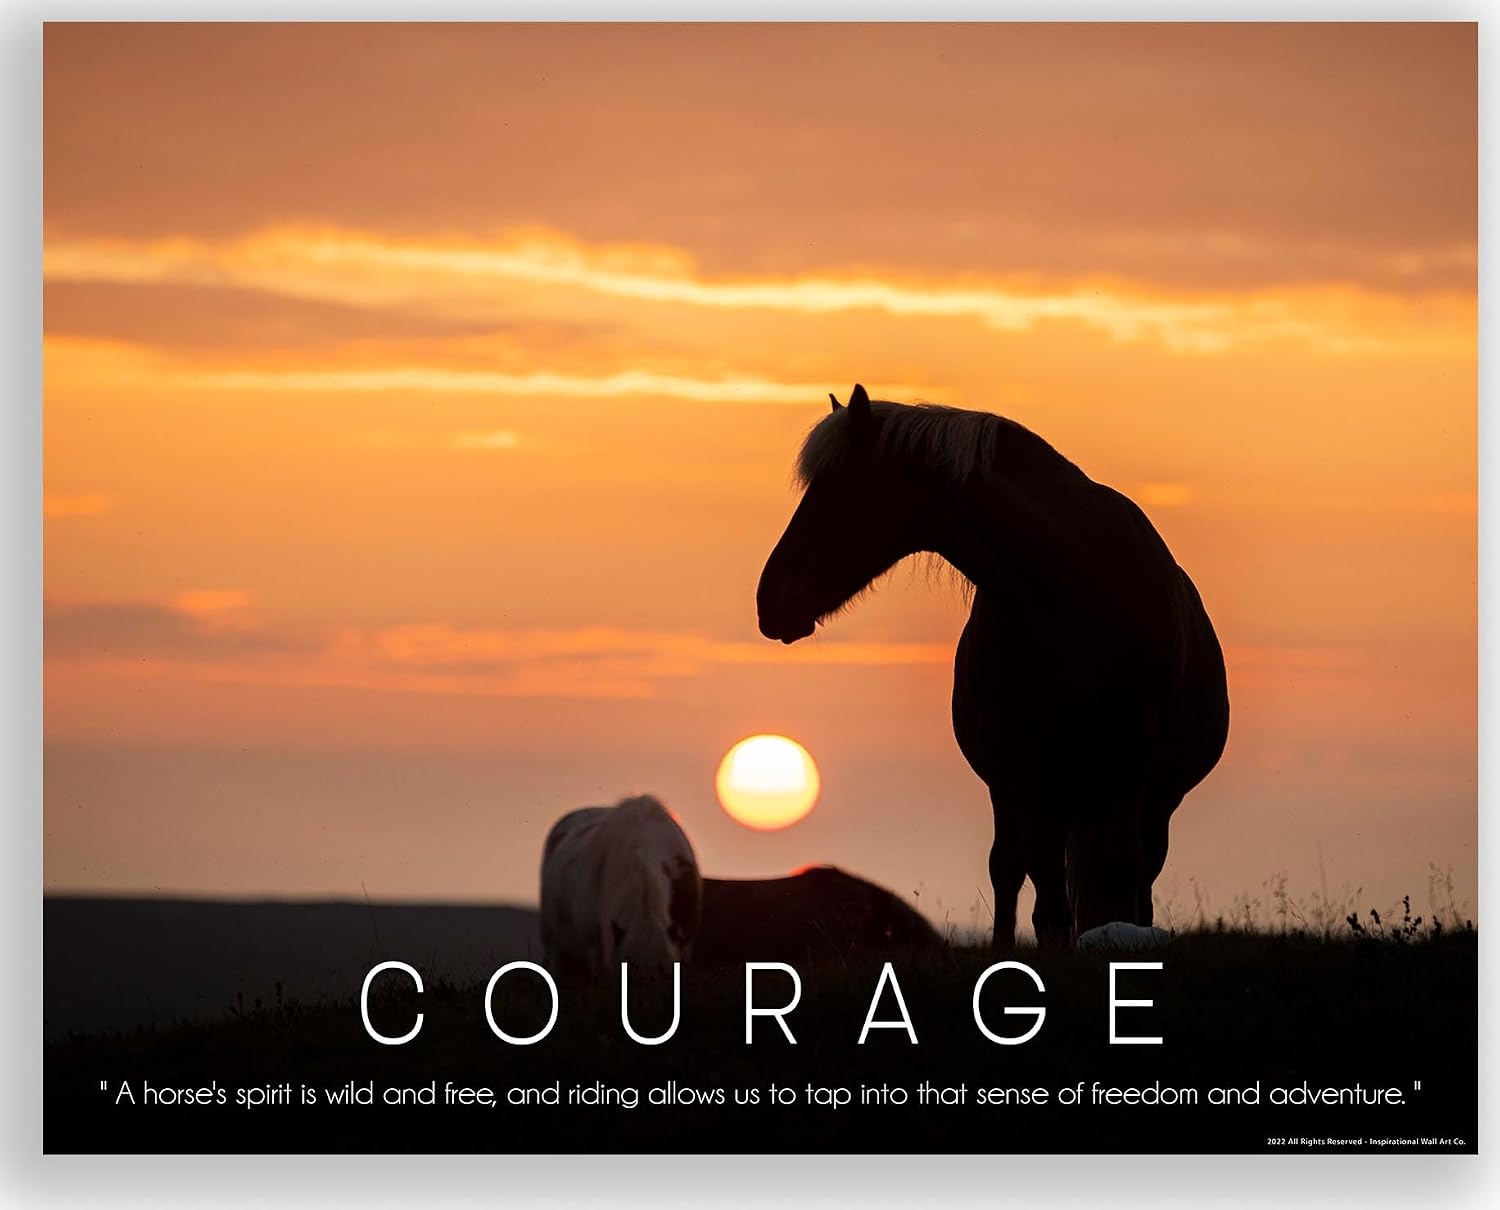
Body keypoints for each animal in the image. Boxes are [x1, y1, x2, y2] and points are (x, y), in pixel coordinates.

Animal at [755, 385, 1229, 950]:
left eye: (837, 492)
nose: (769, 602)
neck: (1074, 590)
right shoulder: (1021, 771)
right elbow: (1039, 895)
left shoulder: (1130, 777)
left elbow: (1121, 881)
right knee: (1014, 872)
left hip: (1143, 798)